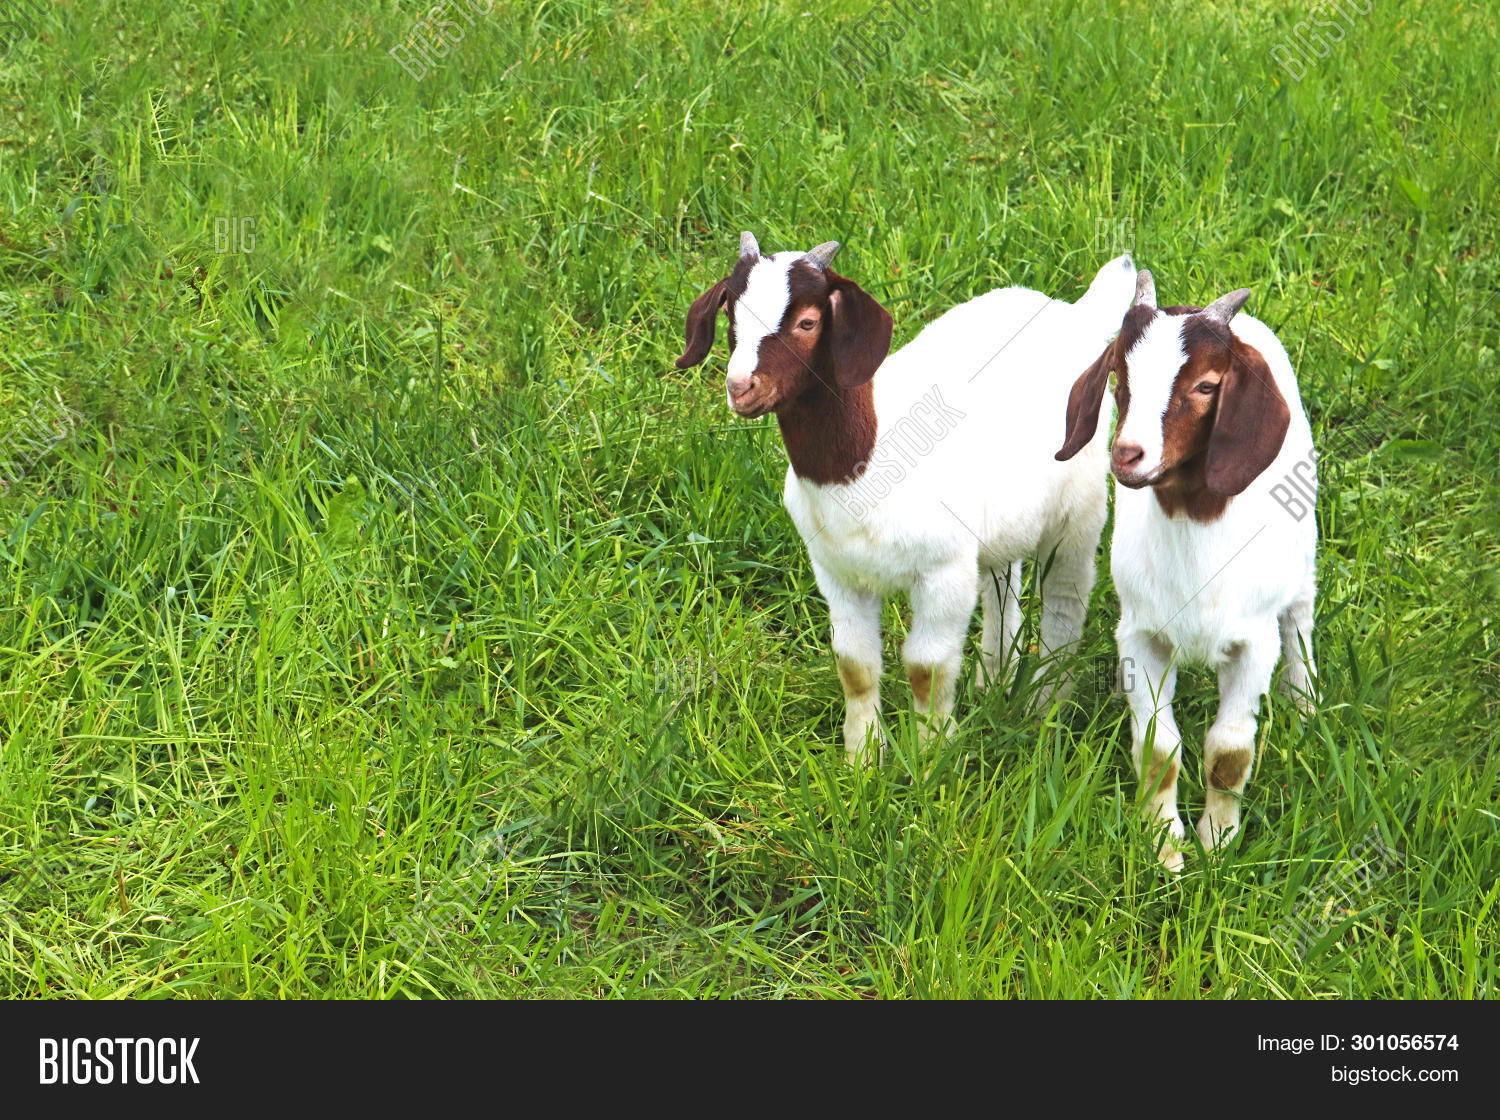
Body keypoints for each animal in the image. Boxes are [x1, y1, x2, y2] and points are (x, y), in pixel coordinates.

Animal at [675, 232, 1137, 762]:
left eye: (807, 322)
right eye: (731, 316)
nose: (740, 387)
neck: (866, 464)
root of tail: (1075, 315)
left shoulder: (943, 570)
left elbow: (927, 667)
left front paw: (932, 755)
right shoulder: (836, 572)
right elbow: (855, 665)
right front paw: (862, 757)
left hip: (1078, 510)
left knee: (1065, 597)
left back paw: (1047, 707)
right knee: (1002, 587)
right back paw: (994, 679)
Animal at [1055, 270, 1317, 870]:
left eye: (1205, 386)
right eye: (1119, 375)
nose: (1127, 454)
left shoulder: (1253, 642)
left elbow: (1230, 749)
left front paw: (1217, 843)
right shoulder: (1142, 634)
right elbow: (1158, 745)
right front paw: (1166, 846)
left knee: (1301, 616)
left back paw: (1305, 702)